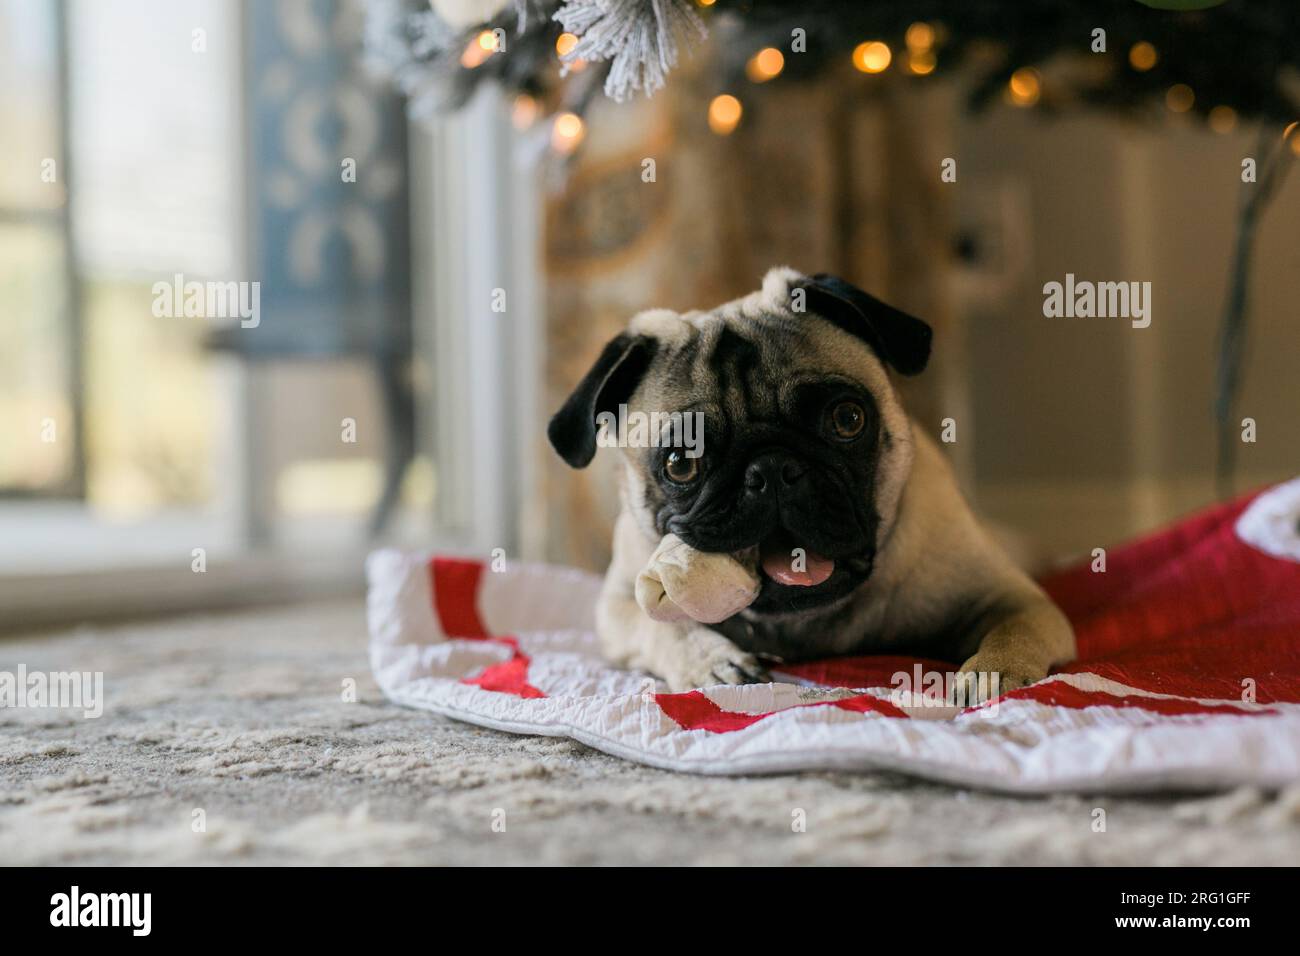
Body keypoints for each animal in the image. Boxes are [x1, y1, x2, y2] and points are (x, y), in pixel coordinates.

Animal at [543, 267, 1071, 697]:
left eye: (847, 419)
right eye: (680, 463)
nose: (771, 469)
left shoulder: (1013, 599)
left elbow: (1013, 630)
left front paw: (991, 672)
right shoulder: (617, 609)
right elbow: (664, 629)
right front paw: (714, 660)